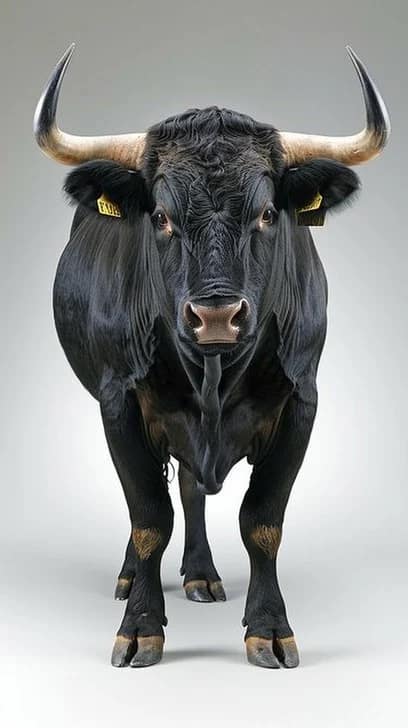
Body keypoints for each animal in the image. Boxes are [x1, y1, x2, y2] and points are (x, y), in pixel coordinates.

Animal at [33, 44, 390, 669]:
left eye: (268, 213)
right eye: (161, 216)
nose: (217, 315)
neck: (215, 382)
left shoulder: (302, 401)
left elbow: (262, 520)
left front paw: (269, 628)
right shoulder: (118, 401)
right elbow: (149, 516)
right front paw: (140, 627)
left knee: (192, 488)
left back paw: (201, 574)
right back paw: (133, 576)